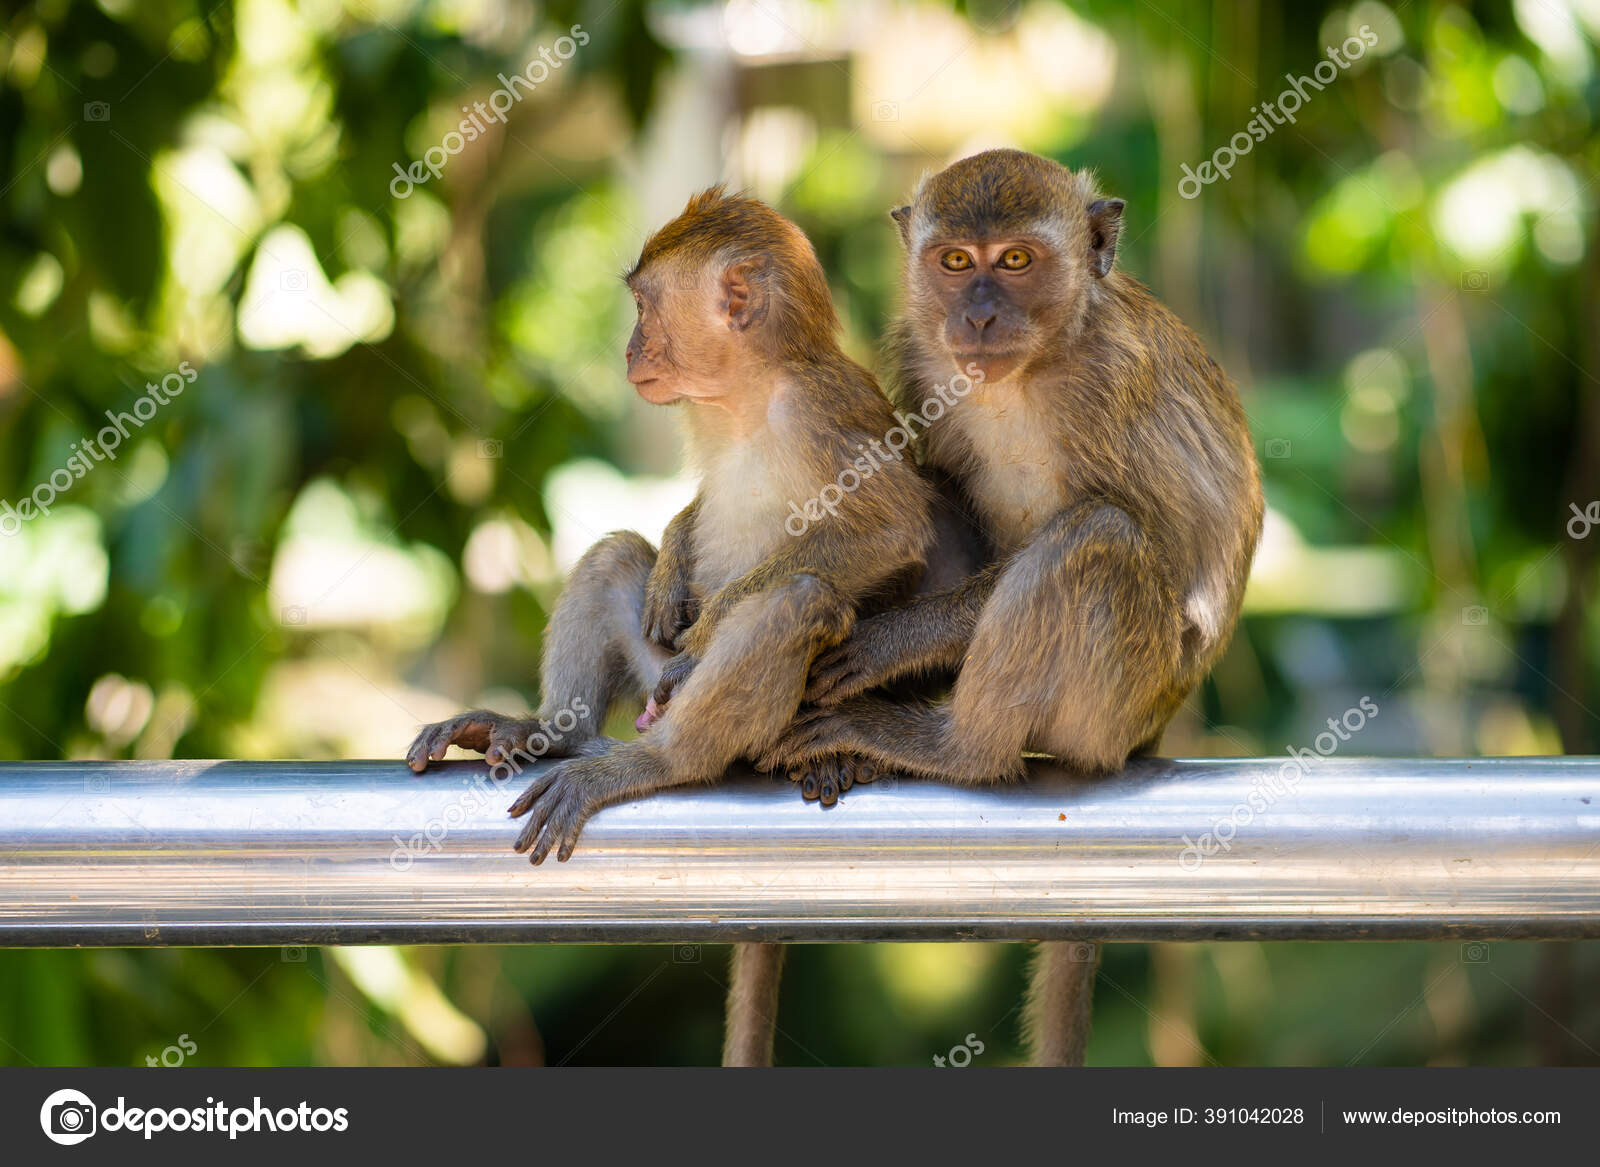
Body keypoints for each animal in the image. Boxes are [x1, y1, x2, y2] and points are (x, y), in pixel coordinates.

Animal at [405, 188, 935, 1065]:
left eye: (644, 307)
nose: (627, 349)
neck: (748, 397)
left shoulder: (820, 411)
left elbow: (892, 530)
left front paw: (713, 620)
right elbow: (686, 520)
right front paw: (675, 551)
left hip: (753, 726)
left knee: (798, 599)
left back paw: (656, 760)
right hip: (647, 681)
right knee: (615, 557)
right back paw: (543, 730)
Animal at [757, 149, 1264, 1064]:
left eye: (1017, 260)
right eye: (957, 261)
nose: (981, 313)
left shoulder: (1109, 389)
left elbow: (1163, 549)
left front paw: (889, 643)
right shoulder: (922, 355)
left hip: (1119, 698)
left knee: (1099, 536)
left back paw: (950, 745)